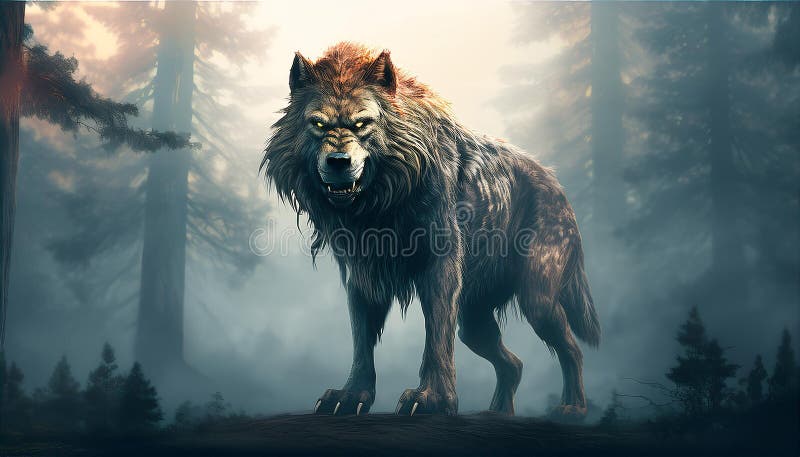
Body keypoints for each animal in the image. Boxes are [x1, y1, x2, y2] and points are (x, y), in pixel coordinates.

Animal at [261, 42, 599, 417]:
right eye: (318, 124)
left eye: (362, 123)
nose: (338, 162)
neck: (379, 204)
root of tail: (557, 185)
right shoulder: (361, 275)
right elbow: (362, 341)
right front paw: (350, 396)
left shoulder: (439, 267)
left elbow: (436, 336)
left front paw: (431, 399)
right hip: (475, 323)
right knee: (514, 363)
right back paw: (498, 411)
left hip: (537, 301)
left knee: (572, 349)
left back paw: (573, 408)